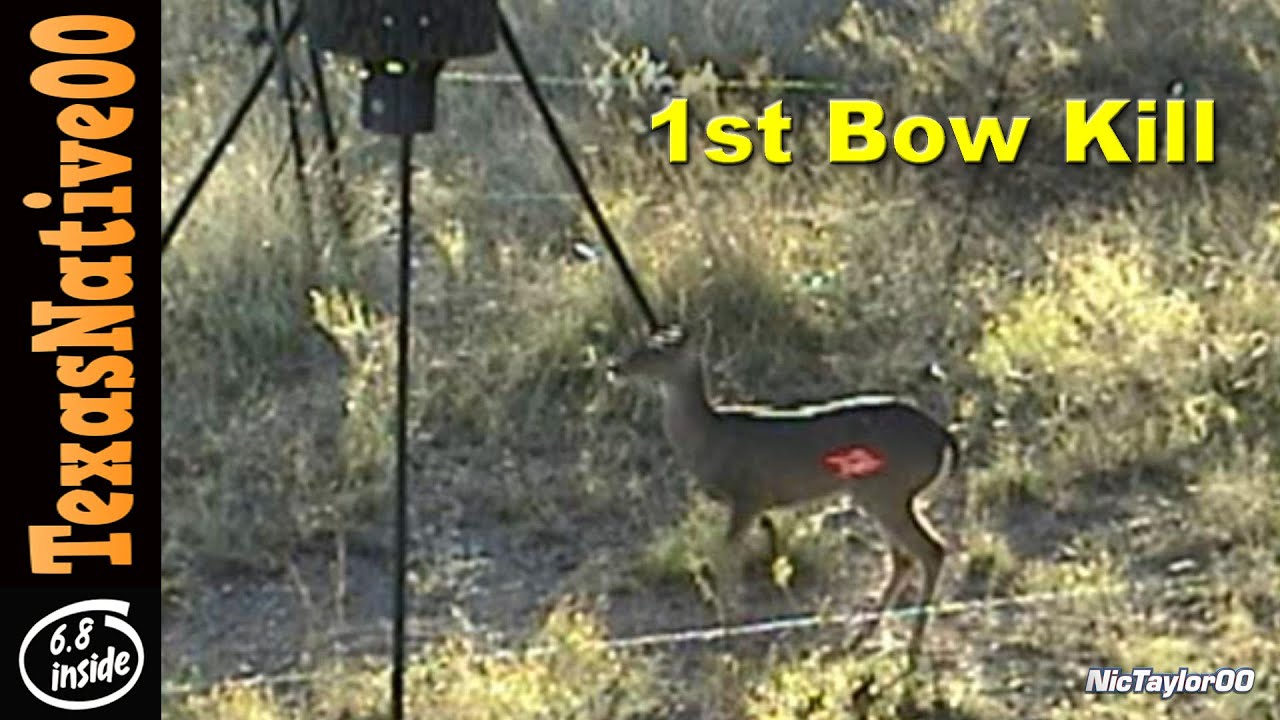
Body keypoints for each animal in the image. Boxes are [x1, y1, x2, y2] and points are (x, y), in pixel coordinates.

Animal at [607, 323, 959, 665]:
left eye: (660, 349)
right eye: (646, 339)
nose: (615, 367)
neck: (710, 437)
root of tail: (943, 439)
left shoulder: (749, 497)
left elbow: (727, 559)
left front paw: (729, 630)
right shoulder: (751, 505)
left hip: (889, 493)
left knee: (932, 550)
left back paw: (912, 650)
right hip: (880, 497)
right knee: (904, 559)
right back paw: (859, 640)